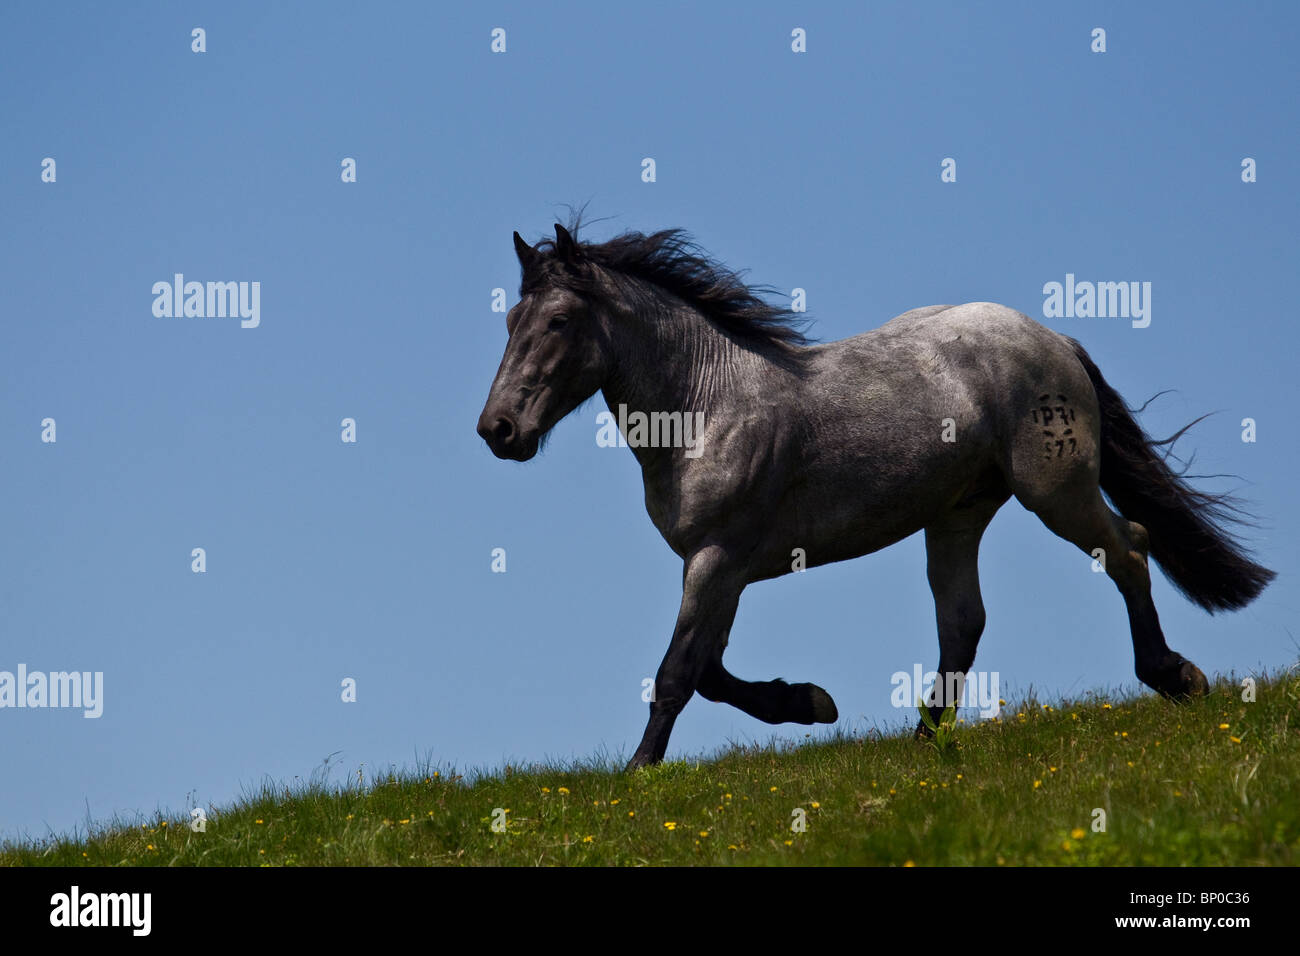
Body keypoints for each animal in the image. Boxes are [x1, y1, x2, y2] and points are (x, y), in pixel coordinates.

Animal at [477, 221, 1275, 770]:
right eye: (511, 322)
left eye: (557, 321)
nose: (498, 429)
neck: (706, 405)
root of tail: (1054, 340)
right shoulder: (720, 569)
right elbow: (708, 671)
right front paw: (810, 702)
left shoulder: (717, 558)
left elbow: (678, 673)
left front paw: (640, 770)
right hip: (958, 515)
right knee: (963, 622)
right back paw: (924, 738)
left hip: (1056, 491)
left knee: (1130, 550)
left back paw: (1176, 676)